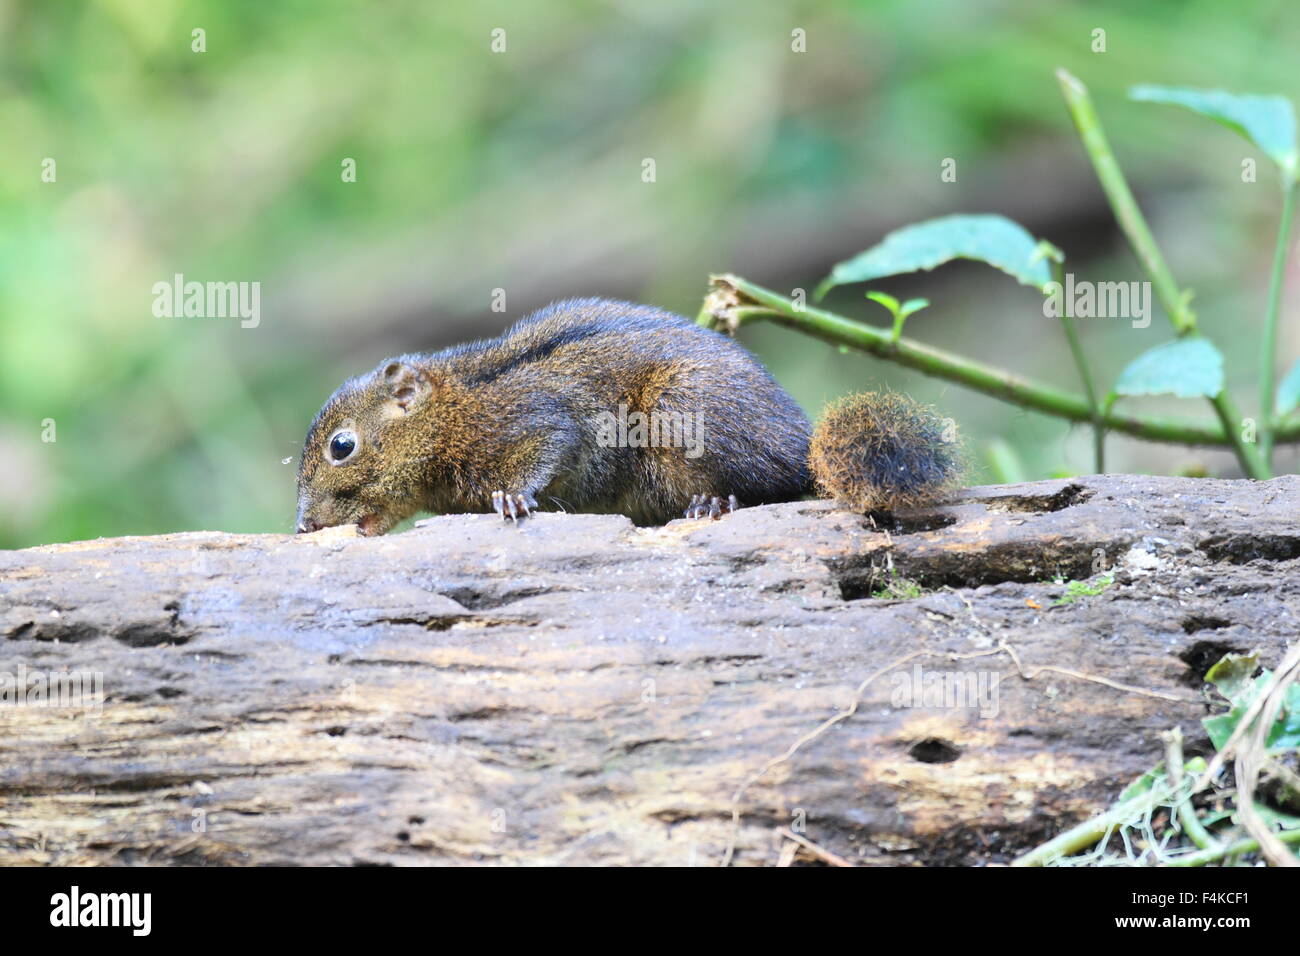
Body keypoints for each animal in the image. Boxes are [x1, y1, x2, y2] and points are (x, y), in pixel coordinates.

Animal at [295, 297, 963, 535]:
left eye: (341, 446)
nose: (302, 526)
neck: (456, 408)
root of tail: (802, 441)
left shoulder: (538, 419)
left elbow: (547, 449)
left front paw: (512, 498)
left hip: (683, 410)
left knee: (774, 485)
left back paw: (714, 503)